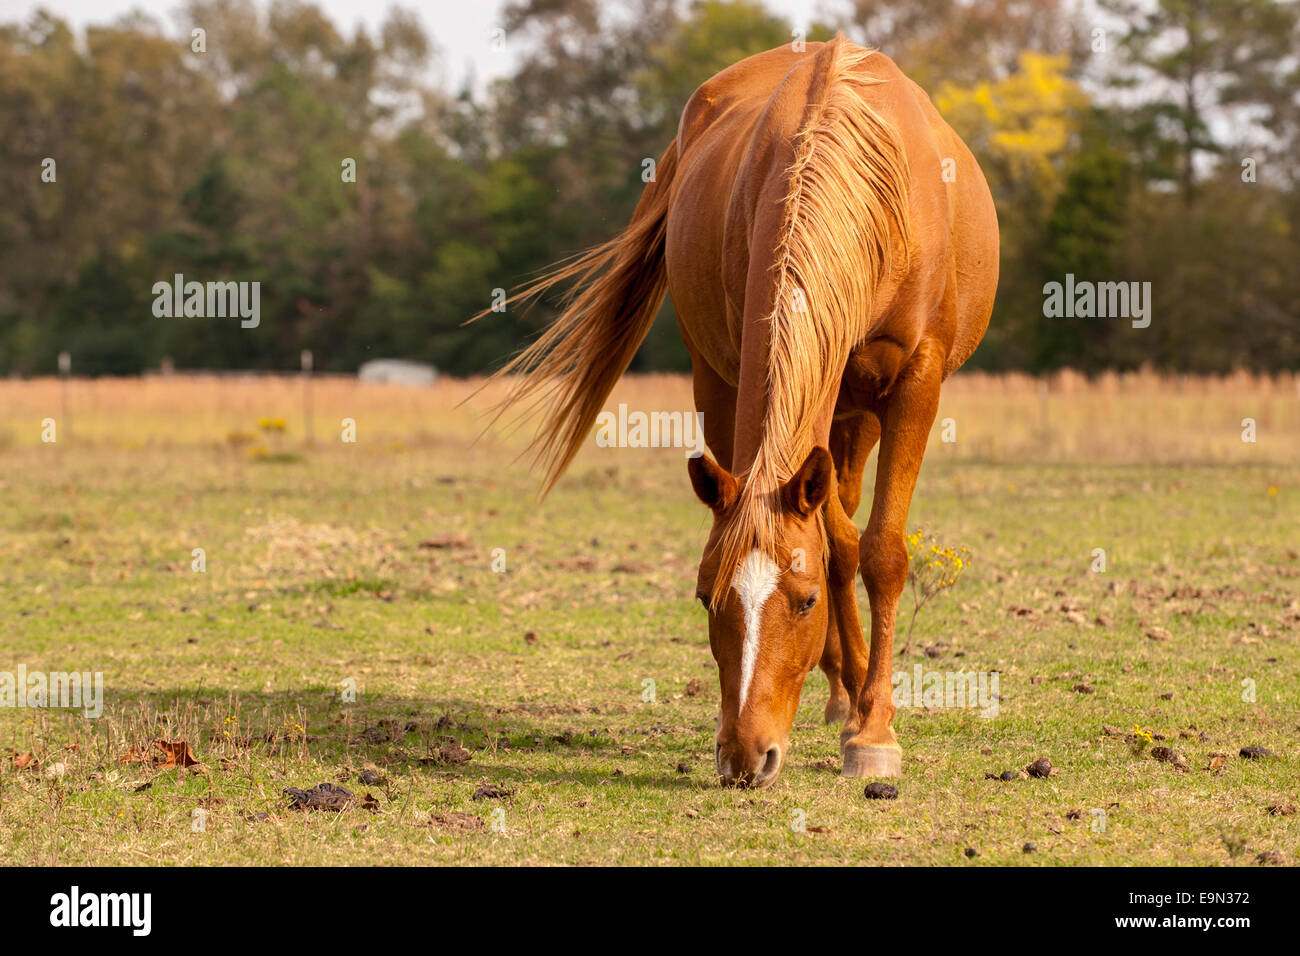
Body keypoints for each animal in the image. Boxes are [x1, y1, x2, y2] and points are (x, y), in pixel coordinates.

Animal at [486, 35, 998, 788]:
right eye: (707, 596)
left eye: (803, 602)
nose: (745, 756)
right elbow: (838, 544)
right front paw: (852, 701)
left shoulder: (915, 383)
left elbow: (880, 552)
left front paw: (876, 733)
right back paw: (841, 689)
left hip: (859, 414)